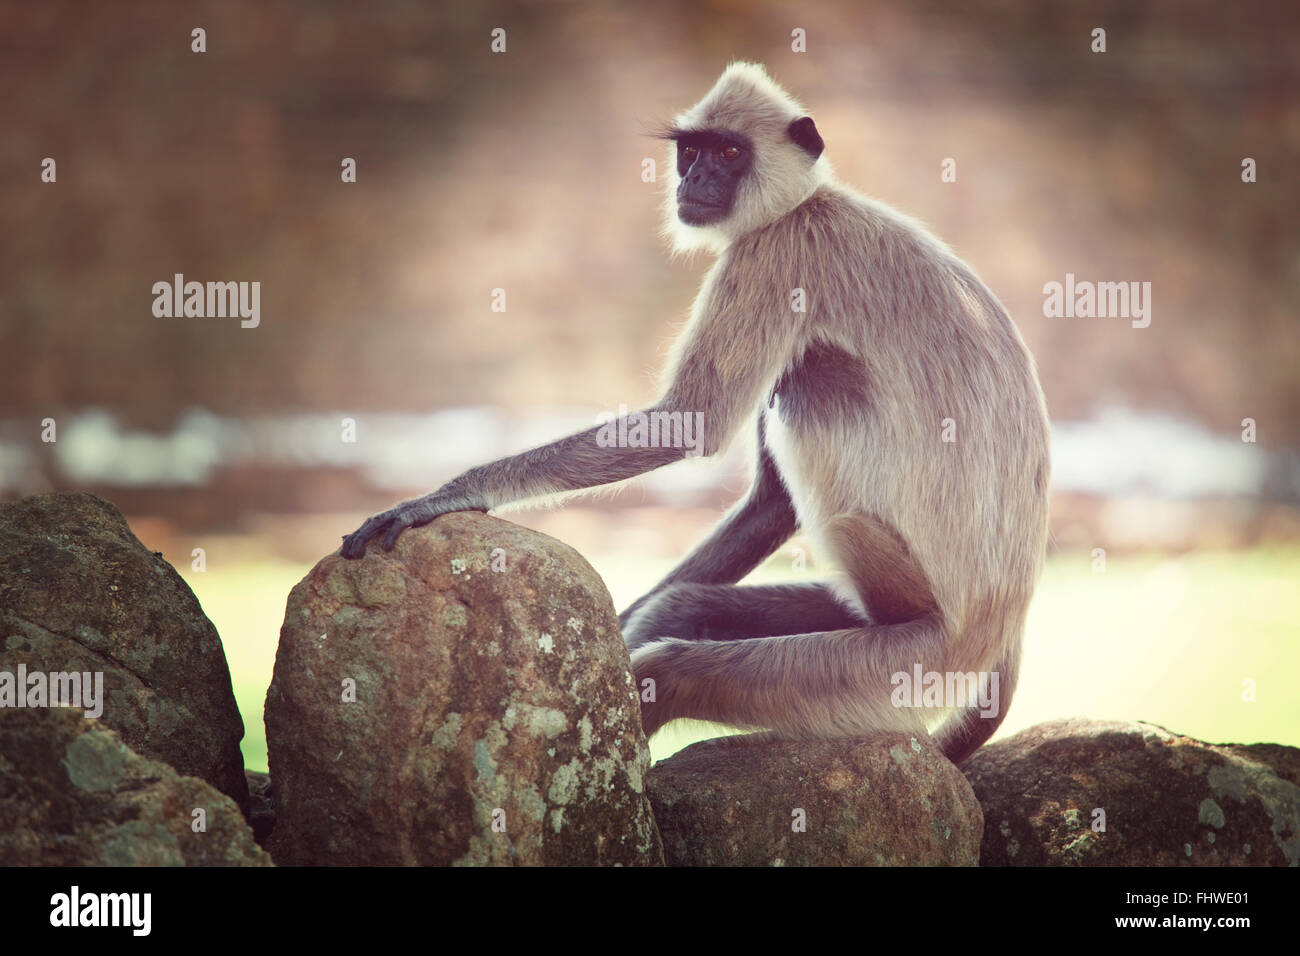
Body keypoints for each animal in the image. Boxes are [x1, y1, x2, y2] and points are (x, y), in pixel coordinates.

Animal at [341, 63, 1050, 764]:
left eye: (730, 154)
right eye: (692, 151)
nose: (695, 180)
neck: (809, 203)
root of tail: (1006, 626)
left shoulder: (775, 254)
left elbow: (693, 421)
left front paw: (456, 492)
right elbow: (770, 501)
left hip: (910, 662)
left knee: (681, 660)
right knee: (683, 605)